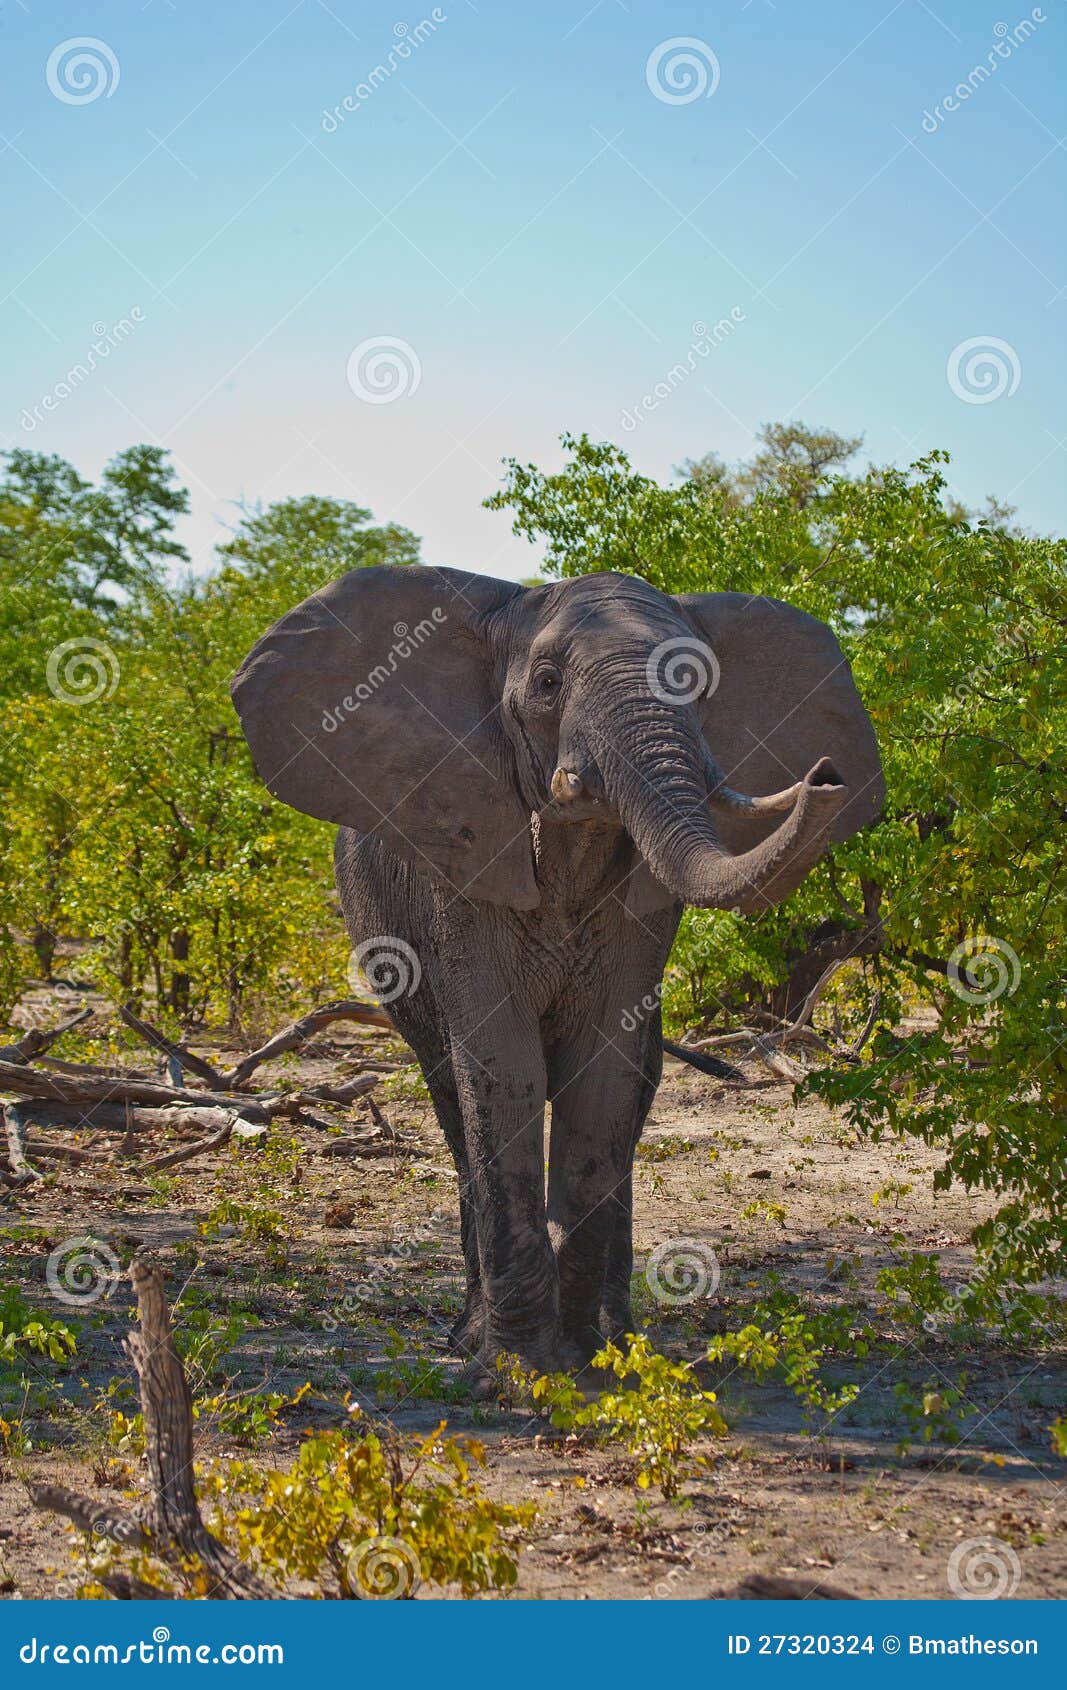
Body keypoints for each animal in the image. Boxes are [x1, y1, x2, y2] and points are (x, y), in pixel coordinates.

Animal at [231, 564, 883, 1389]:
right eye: (546, 684)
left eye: (701, 690)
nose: (823, 779)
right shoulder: (460, 857)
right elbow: (501, 1065)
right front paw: (516, 1373)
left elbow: (601, 1073)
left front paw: (587, 1364)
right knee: (450, 1096)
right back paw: (464, 1335)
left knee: (636, 1091)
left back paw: (619, 1334)